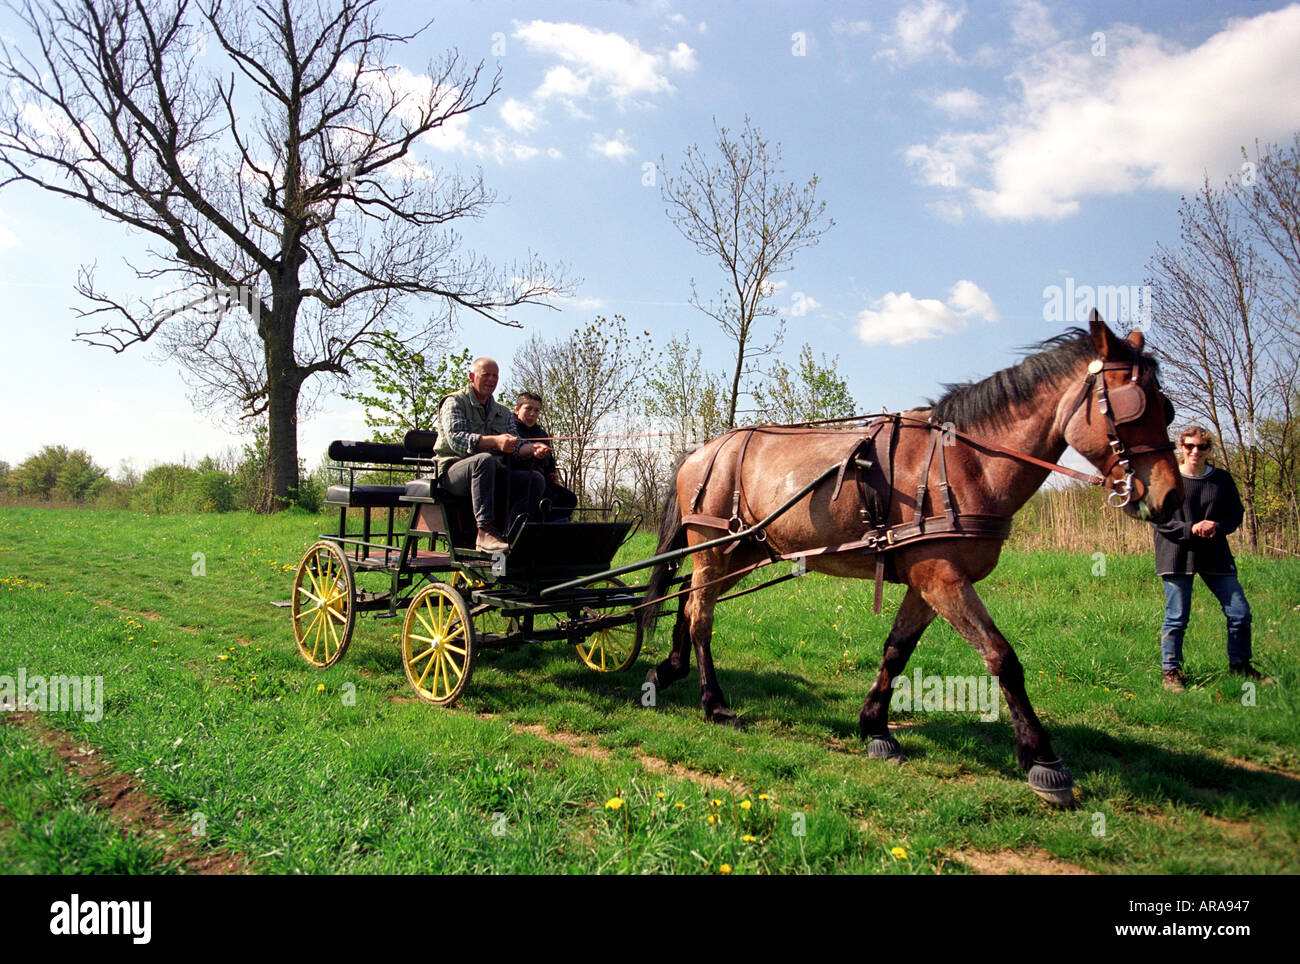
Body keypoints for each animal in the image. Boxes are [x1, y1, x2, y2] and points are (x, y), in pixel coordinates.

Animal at [638, 312, 1183, 807]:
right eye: (1133, 407)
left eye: (1168, 408)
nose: (1173, 497)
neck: (967, 464)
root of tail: (700, 452)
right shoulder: (942, 577)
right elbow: (1002, 658)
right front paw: (1043, 760)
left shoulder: (927, 580)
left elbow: (896, 651)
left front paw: (876, 728)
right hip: (712, 547)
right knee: (701, 614)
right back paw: (713, 702)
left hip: (744, 551)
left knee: (689, 602)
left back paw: (669, 669)